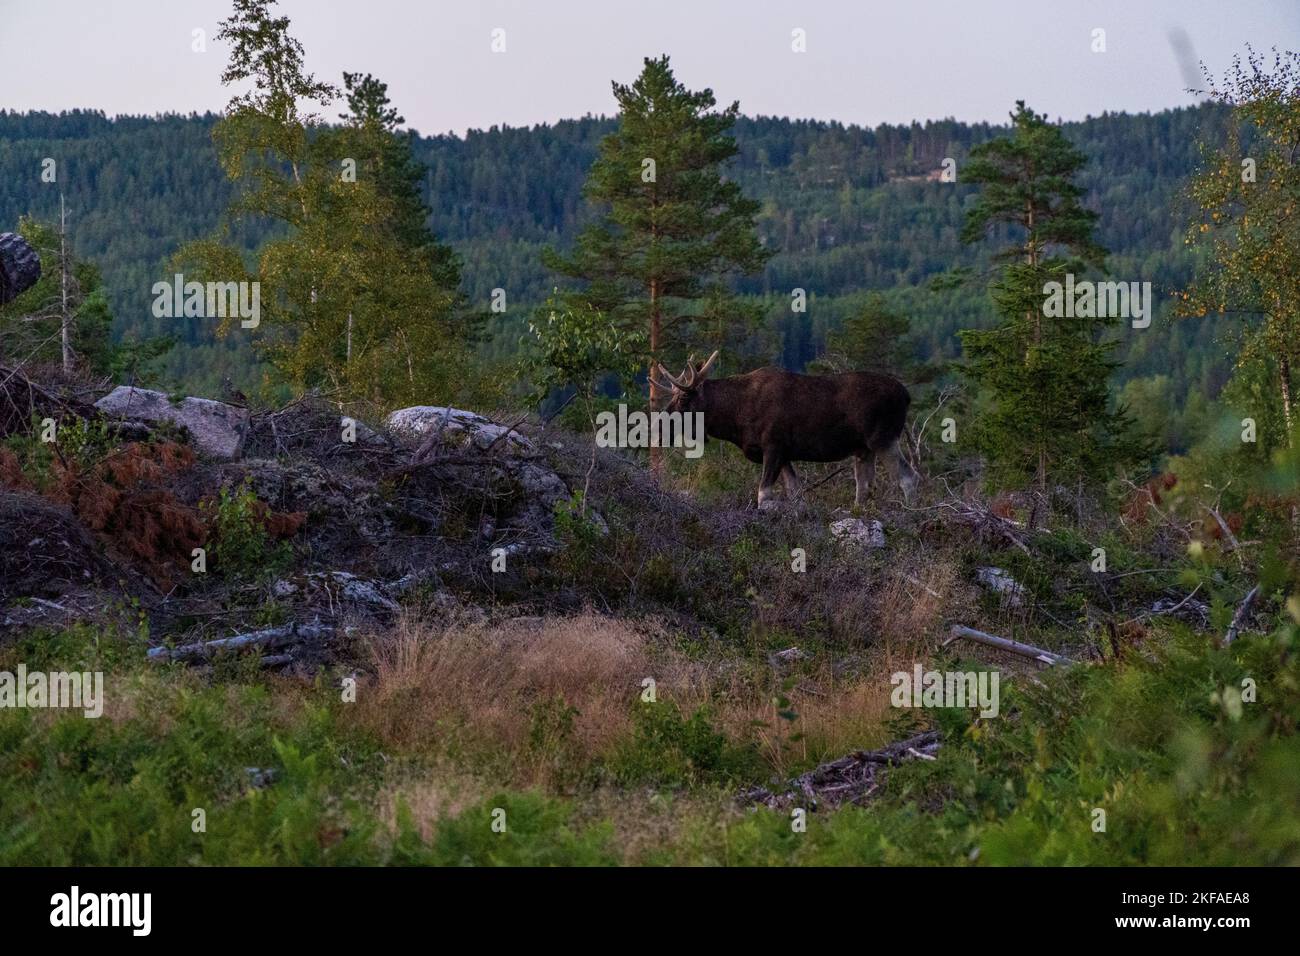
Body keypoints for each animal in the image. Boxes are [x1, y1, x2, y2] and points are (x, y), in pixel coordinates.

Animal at [651, 350, 918, 510]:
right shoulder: (786, 453)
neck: (736, 417)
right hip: (863, 449)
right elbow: (795, 493)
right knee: (864, 488)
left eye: (683, 400)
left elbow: (763, 494)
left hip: (883, 439)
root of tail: (906, 395)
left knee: (909, 477)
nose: (658, 426)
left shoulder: (774, 446)